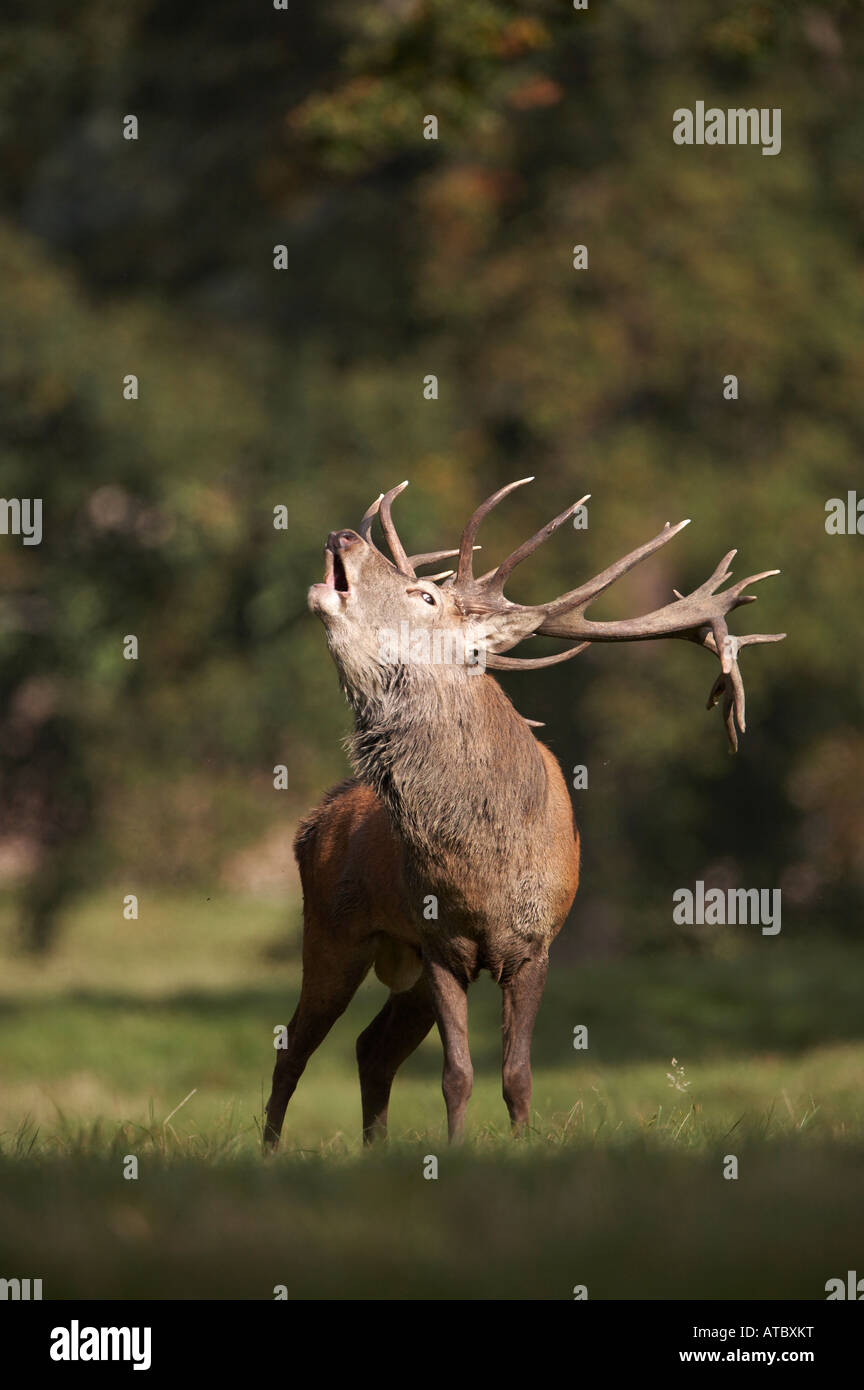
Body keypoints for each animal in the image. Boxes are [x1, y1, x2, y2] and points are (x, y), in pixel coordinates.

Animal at [263, 479, 784, 1149]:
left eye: (425, 594)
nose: (345, 534)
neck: (487, 861)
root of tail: (316, 818)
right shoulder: (440, 942)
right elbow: (457, 1073)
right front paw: (457, 1150)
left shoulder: (534, 945)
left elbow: (517, 1074)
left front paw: (521, 1146)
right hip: (332, 931)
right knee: (295, 1047)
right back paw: (271, 1150)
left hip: (391, 963)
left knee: (369, 1048)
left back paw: (371, 1147)